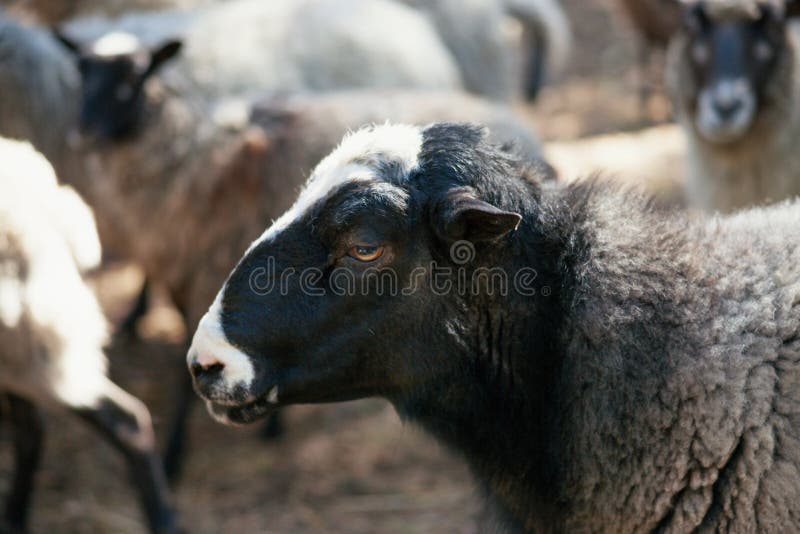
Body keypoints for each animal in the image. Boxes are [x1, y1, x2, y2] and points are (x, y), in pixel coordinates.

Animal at [0, 138, 176, 533]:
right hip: (25, 350)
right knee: (31, 429)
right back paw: (14, 515)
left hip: (35, 346)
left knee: (125, 420)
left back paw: (164, 518)